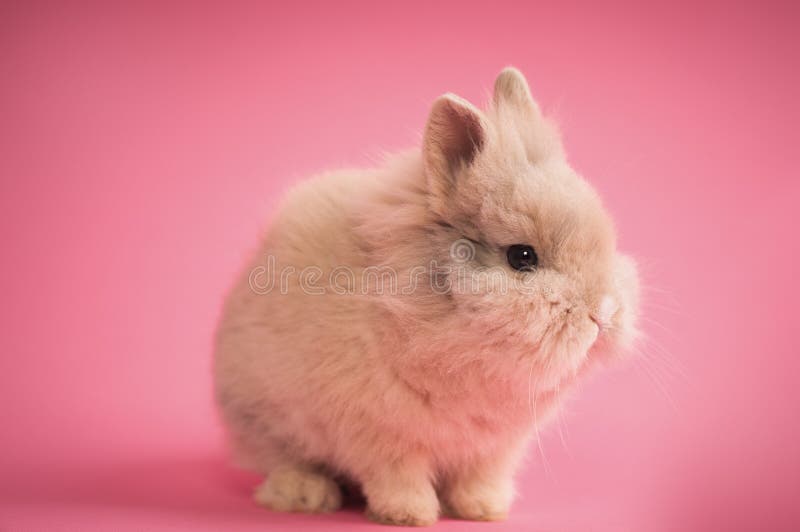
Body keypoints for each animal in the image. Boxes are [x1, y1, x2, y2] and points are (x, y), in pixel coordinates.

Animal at [213, 67, 640, 526]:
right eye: (521, 257)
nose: (604, 314)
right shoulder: (381, 433)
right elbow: (398, 477)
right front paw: (410, 515)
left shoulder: (491, 449)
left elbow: (477, 478)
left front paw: (483, 510)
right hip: (267, 420)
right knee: (284, 459)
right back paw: (307, 494)